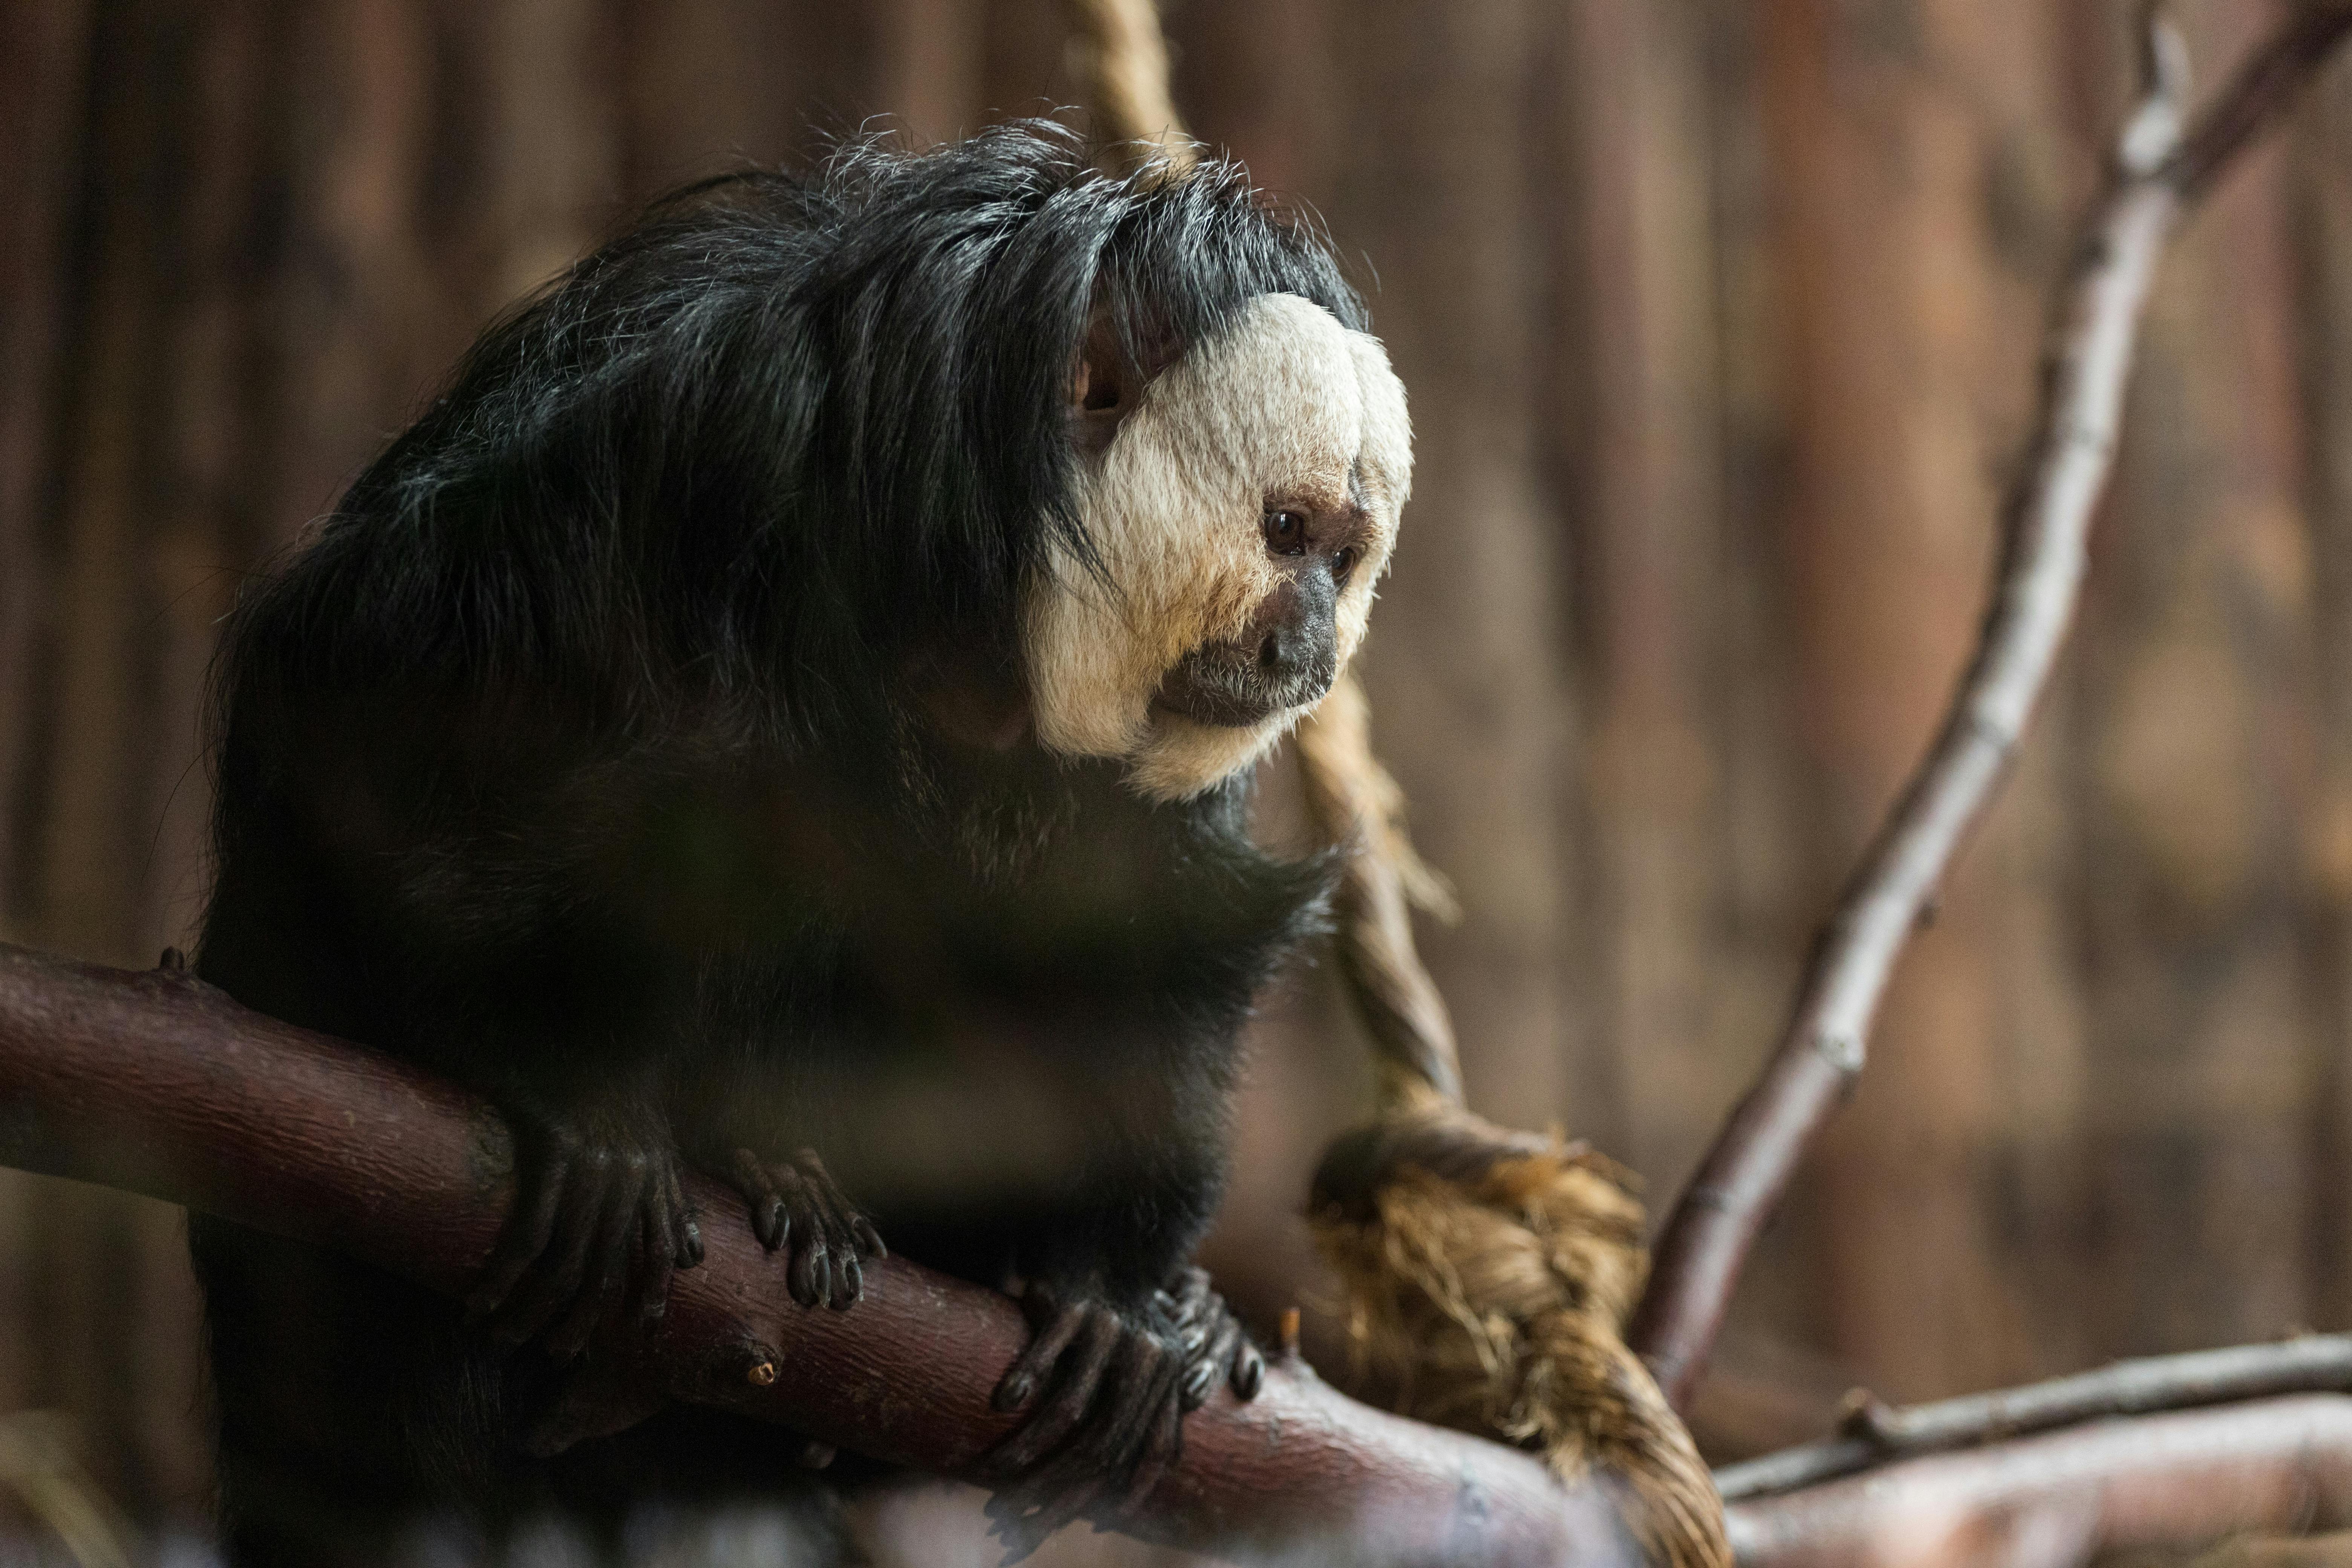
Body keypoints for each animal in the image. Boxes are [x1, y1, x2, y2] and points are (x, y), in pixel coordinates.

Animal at [186, 123, 1411, 1566]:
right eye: (1287, 533)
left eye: (1348, 554)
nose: (1311, 645)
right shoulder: (712, 433)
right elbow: (409, 700)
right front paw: (566, 1084)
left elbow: (1148, 935)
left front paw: (1113, 1292)